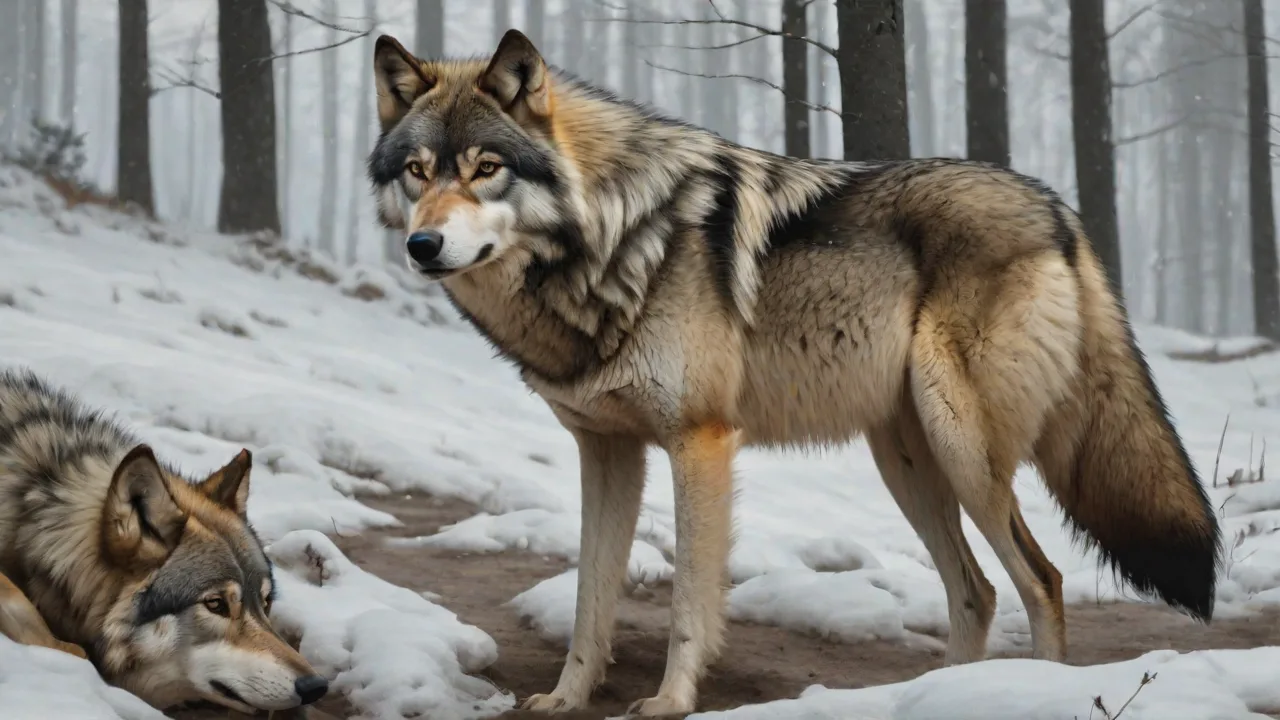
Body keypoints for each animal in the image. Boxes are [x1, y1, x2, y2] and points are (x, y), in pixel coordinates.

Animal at [365, 29, 1223, 716]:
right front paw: (565, 697)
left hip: (964, 455)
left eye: (486, 168)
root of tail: (1058, 208)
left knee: (1041, 581)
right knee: (975, 592)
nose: (423, 246)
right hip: (907, 463)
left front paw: (670, 701)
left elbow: (688, 598)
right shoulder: (606, 450)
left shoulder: (700, 441)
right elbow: (589, 597)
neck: (612, 238)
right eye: (417, 171)